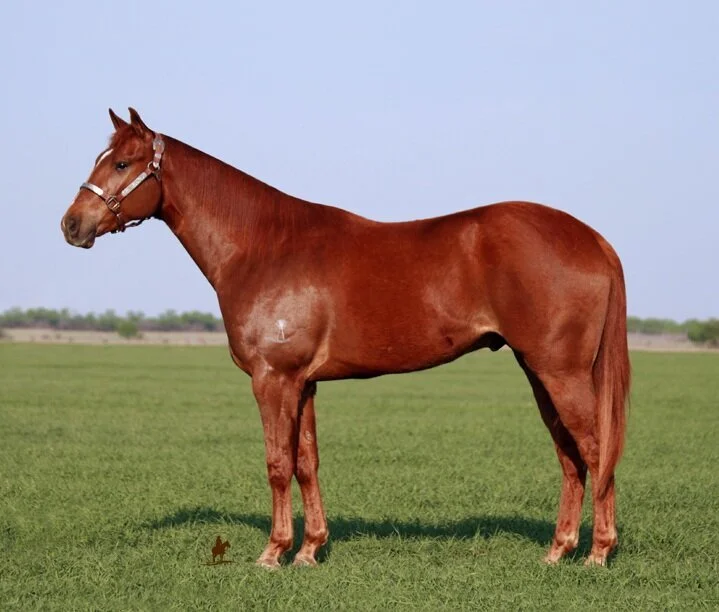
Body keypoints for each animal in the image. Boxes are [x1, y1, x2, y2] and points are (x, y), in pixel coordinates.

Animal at [61, 108, 630, 569]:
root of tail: (594, 239)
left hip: (560, 372)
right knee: (569, 456)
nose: (71, 224)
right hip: (538, 372)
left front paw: (273, 553)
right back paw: (558, 551)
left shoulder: (273, 380)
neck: (265, 246)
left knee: (595, 451)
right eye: (101, 158)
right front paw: (310, 549)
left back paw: (598, 553)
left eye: (121, 164)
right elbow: (306, 463)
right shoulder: (303, 383)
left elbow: (277, 464)